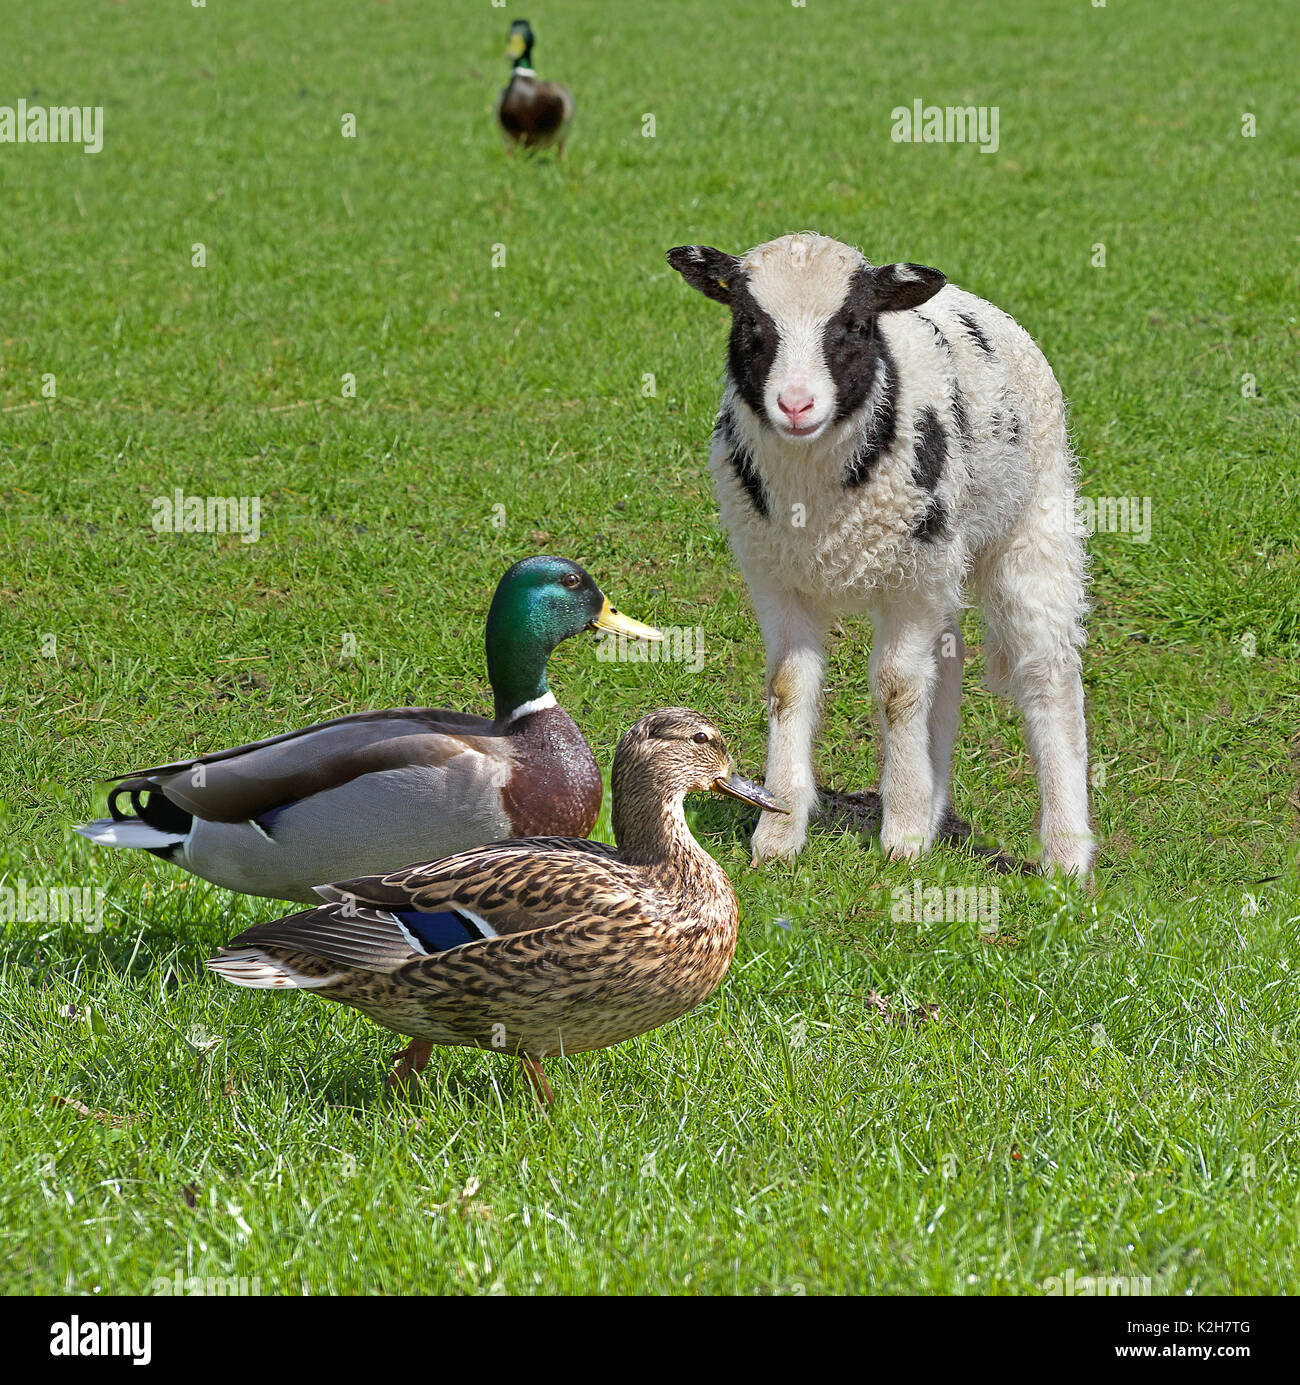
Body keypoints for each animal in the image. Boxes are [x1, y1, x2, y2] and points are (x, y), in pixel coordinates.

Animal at [667, 232, 1093, 877]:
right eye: (748, 322)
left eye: (856, 324)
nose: (795, 404)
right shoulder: (773, 574)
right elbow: (789, 685)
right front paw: (779, 831)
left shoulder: (910, 578)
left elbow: (896, 688)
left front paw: (903, 834)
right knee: (947, 662)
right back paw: (937, 805)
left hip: (1030, 521)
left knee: (1047, 672)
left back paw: (1066, 855)